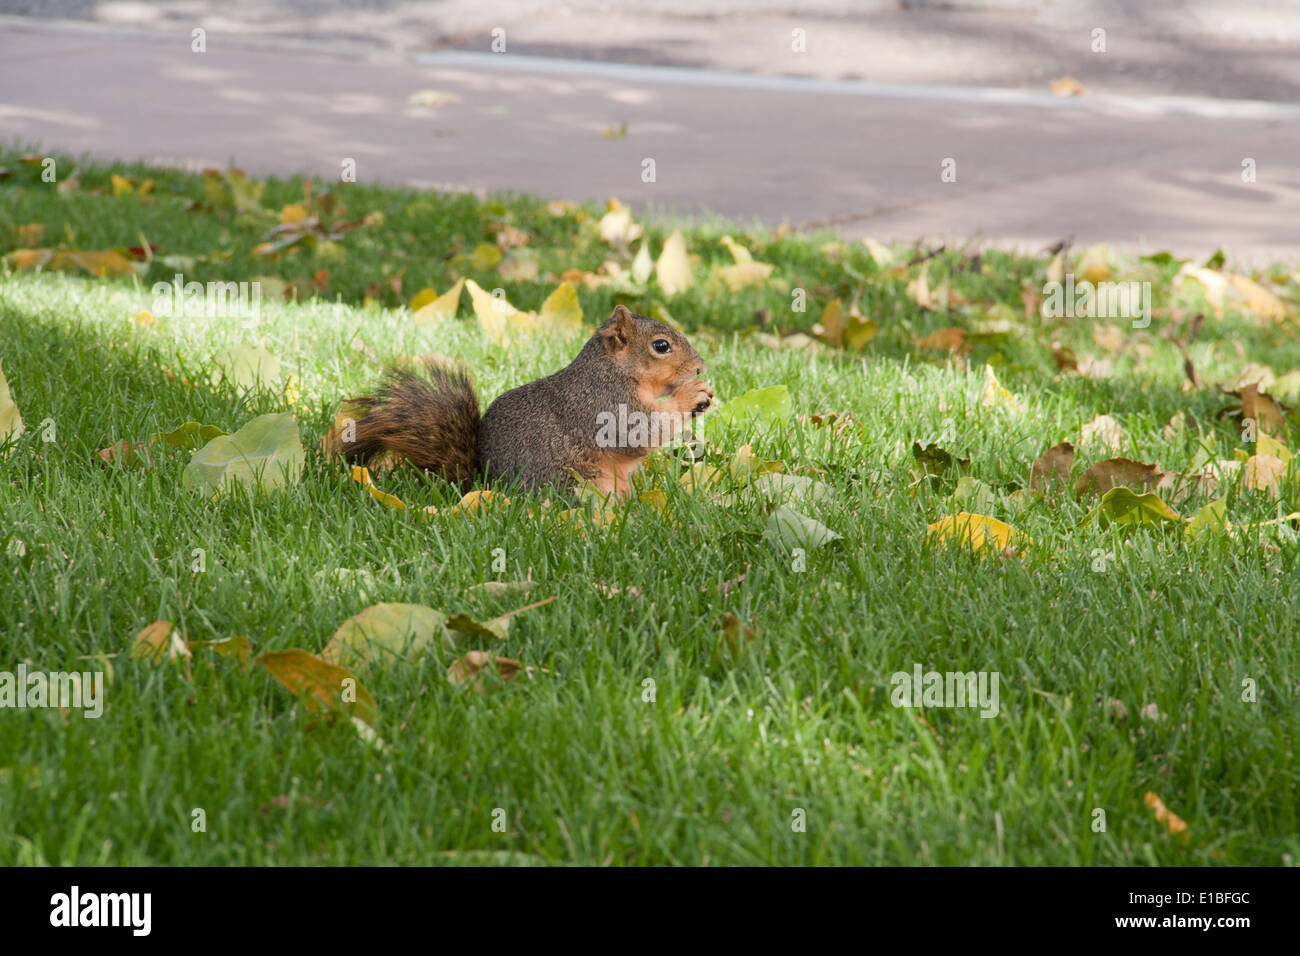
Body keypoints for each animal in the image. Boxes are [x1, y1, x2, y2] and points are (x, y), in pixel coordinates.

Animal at [343, 304, 713, 497]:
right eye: (661, 346)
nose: (701, 367)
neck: (614, 370)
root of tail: (485, 485)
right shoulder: (604, 404)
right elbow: (639, 433)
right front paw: (690, 394)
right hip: (576, 483)